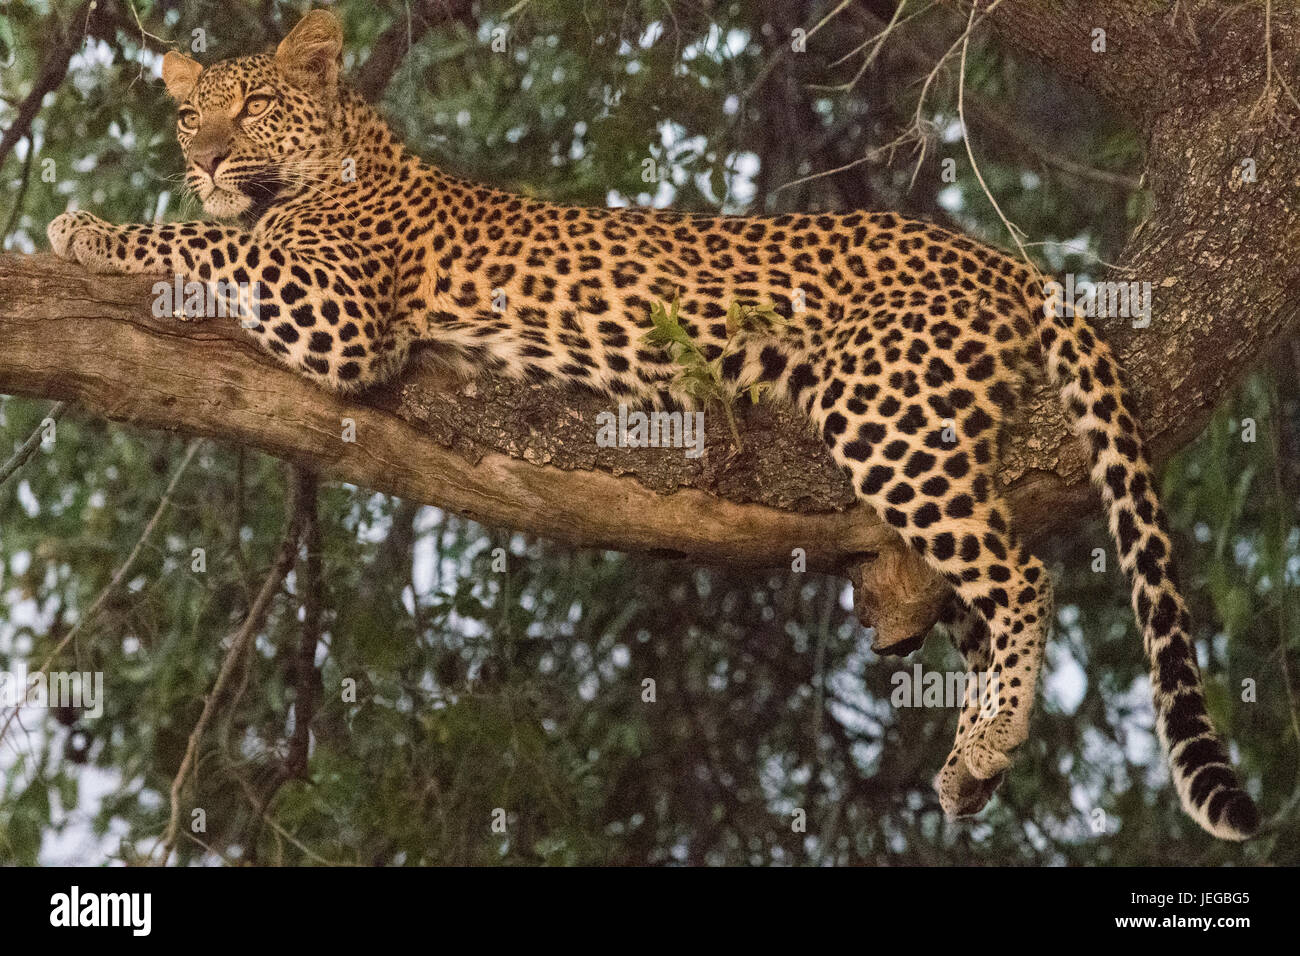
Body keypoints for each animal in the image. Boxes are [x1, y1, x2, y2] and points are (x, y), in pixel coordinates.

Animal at [47, 8, 1259, 840]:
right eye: (187, 110)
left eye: (250, 108)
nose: (202, 154)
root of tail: (1003, 260)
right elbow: (219, 236)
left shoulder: (341, 306)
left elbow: (210, 244)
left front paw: (85, 227)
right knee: (975, 587)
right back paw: (971, 761)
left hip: (885, 411)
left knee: (1022, 574)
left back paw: (992, 735)